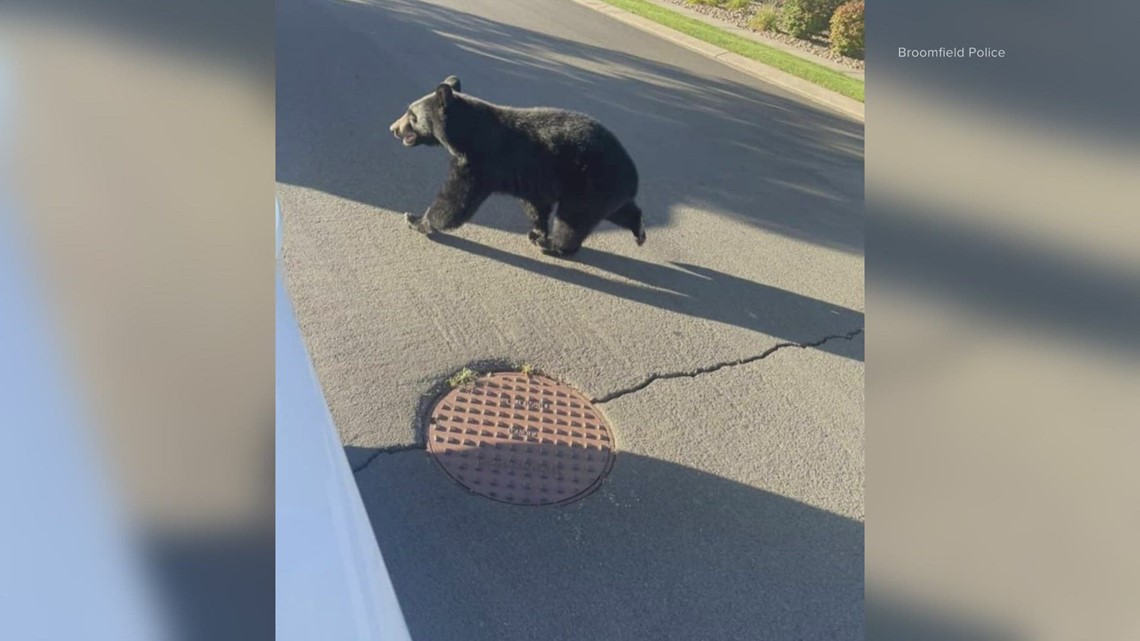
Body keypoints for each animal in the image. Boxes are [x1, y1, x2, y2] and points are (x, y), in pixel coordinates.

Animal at [389, 76, 646, 257]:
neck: (466, 133)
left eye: (412, 115)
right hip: (605, 191)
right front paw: (537, 229)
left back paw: (553, 246)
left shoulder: (479, 162)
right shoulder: (531, 176)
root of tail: (633, 175)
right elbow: (534, 204)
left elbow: (454, 201)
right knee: (619, 211)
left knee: (573, 220)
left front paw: (416, 219)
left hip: (590, 182)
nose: (393, 128)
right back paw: (639, 231)